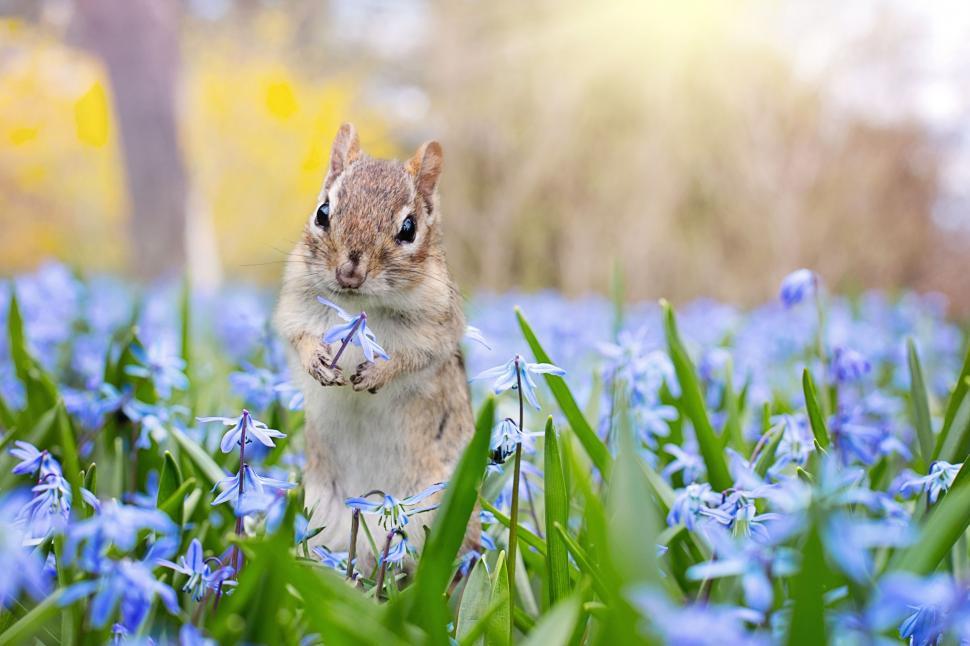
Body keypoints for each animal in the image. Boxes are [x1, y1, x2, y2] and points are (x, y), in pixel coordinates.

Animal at [274, 123, 476, 568]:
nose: (350, 272)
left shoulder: (435, 328)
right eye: (323, 212)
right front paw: (318, 362)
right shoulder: (295, 308)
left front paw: (376, 373)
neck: (357, 305)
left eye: (409, 228)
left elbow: (412, 358)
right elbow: (299, 337)